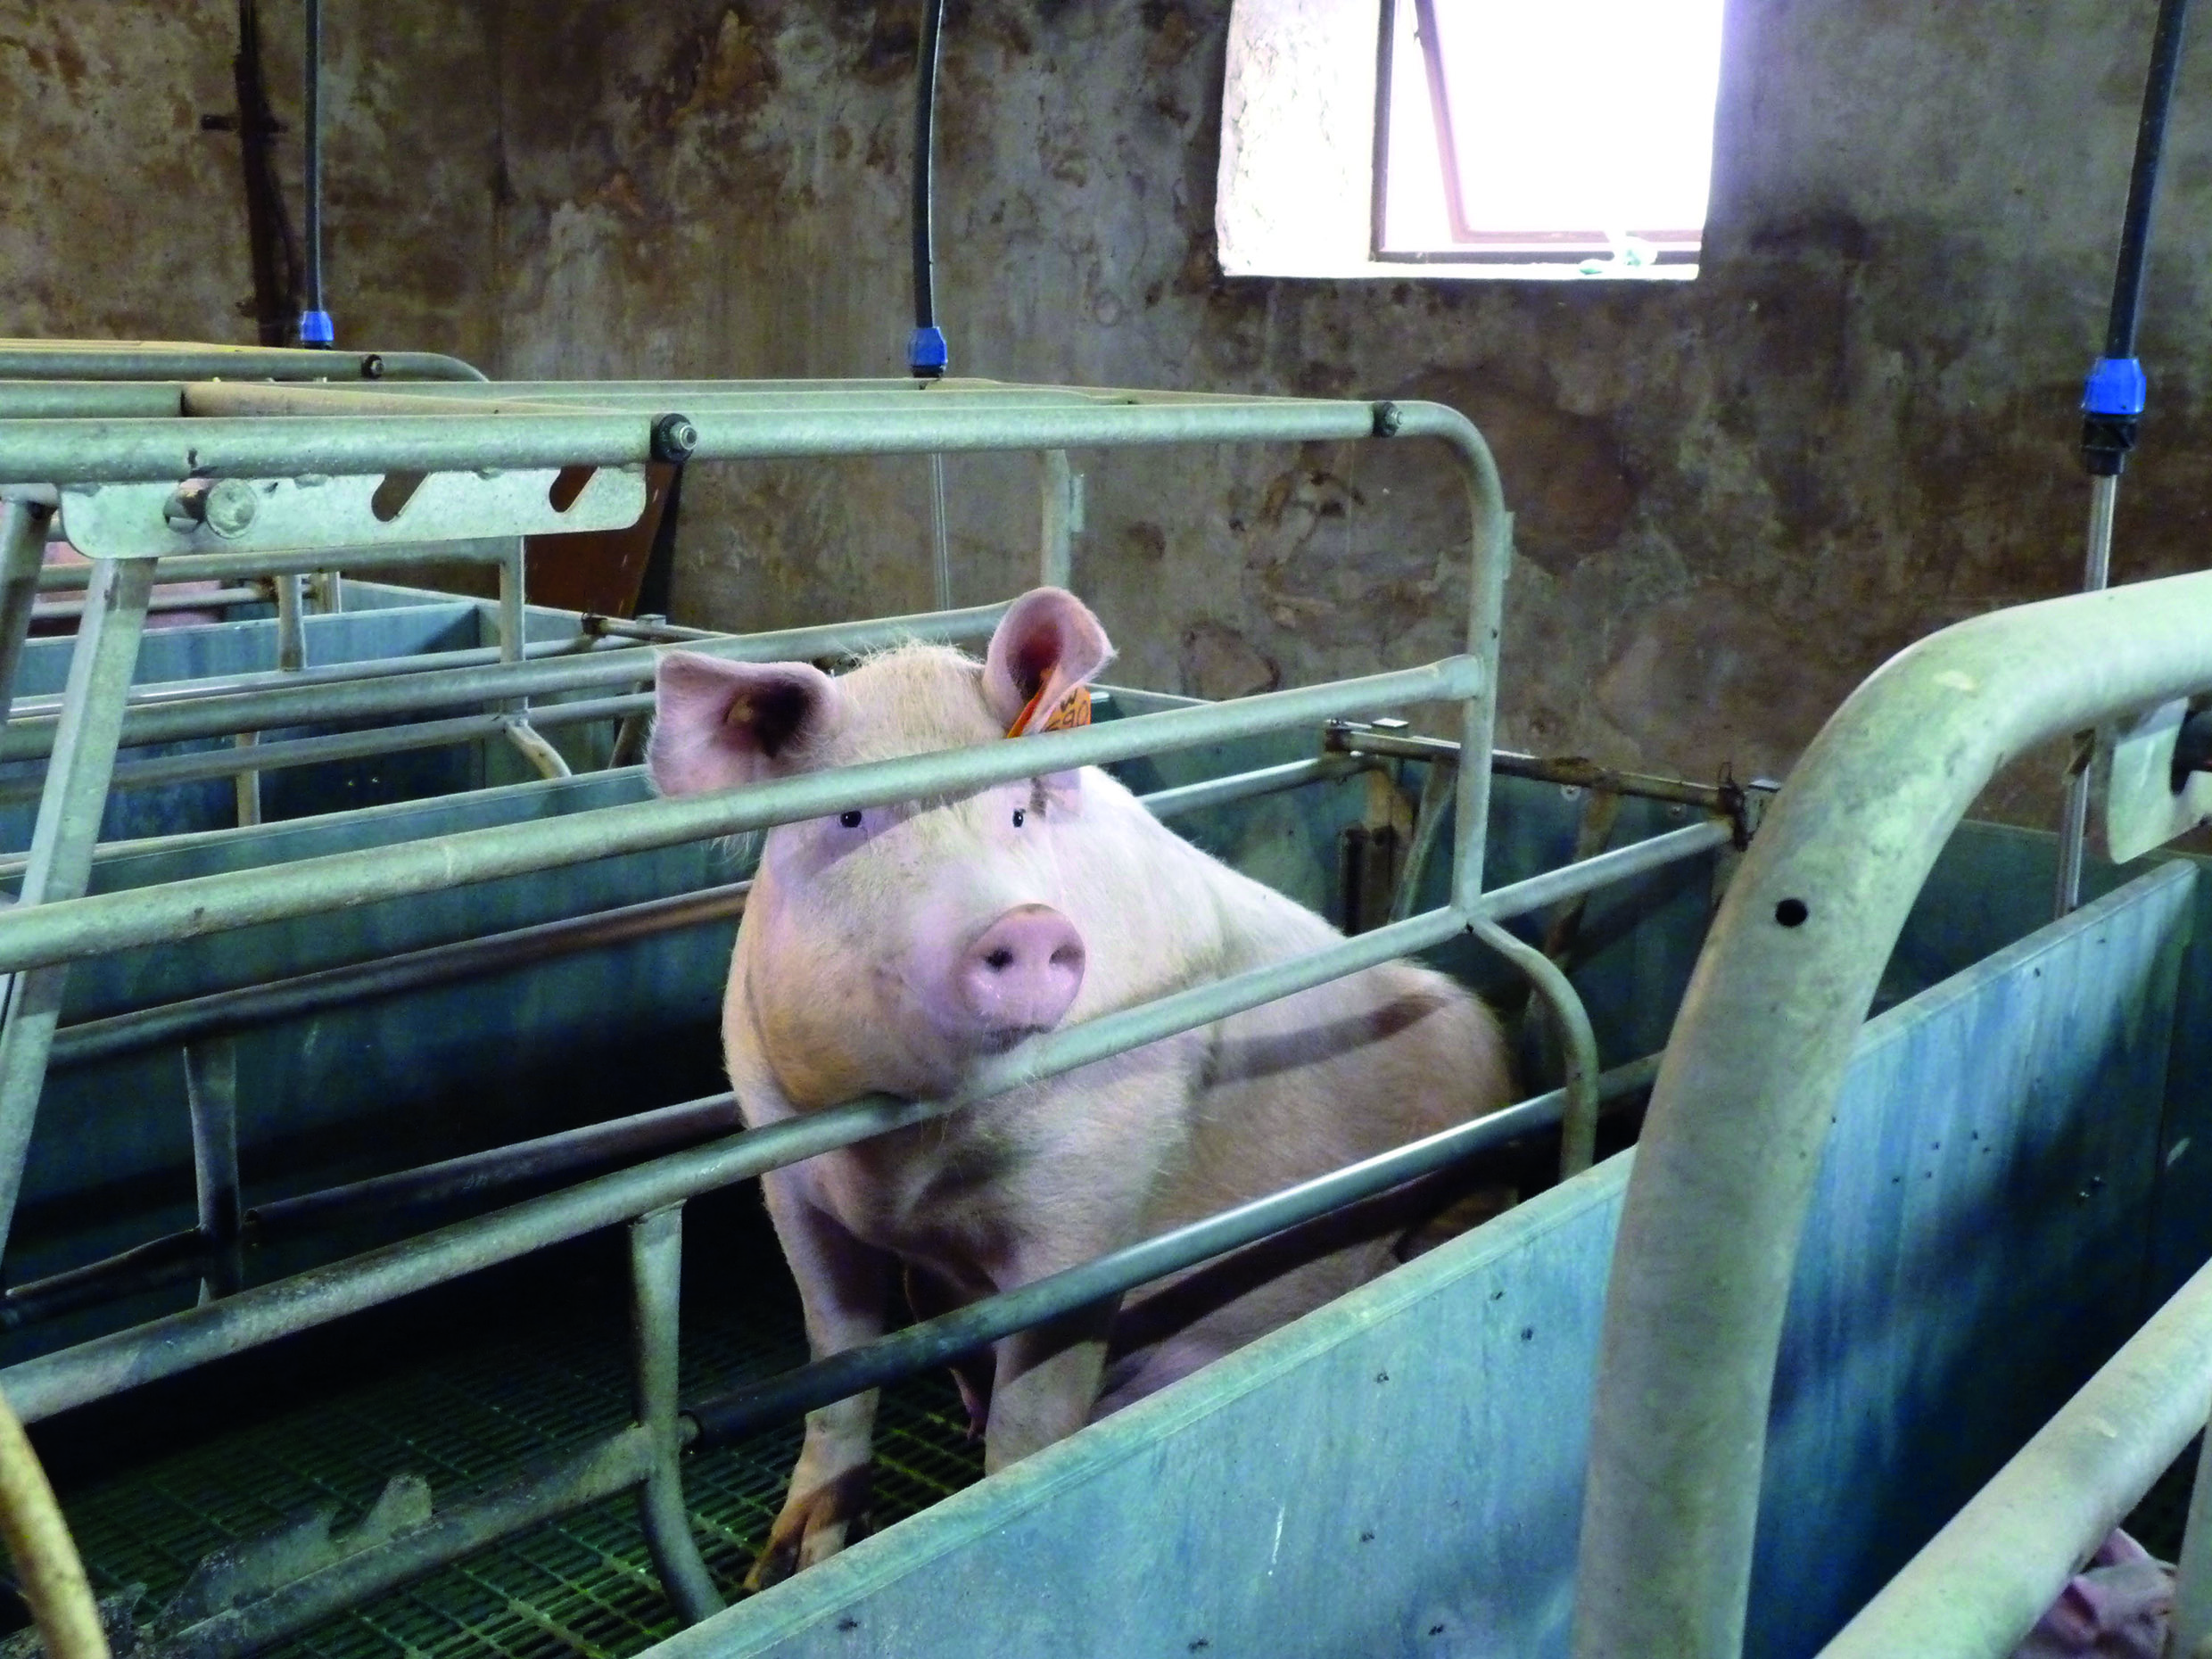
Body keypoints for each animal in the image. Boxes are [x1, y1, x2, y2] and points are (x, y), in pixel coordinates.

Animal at [648, 588, 1514, 1586]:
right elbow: (836, 1366)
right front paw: (785, 1567)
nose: (1024, 924)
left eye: (1019, 814)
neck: (908, 1163)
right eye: (852, 818)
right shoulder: (789, 1174)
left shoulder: (1091, 1212)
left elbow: (1031, 1422)